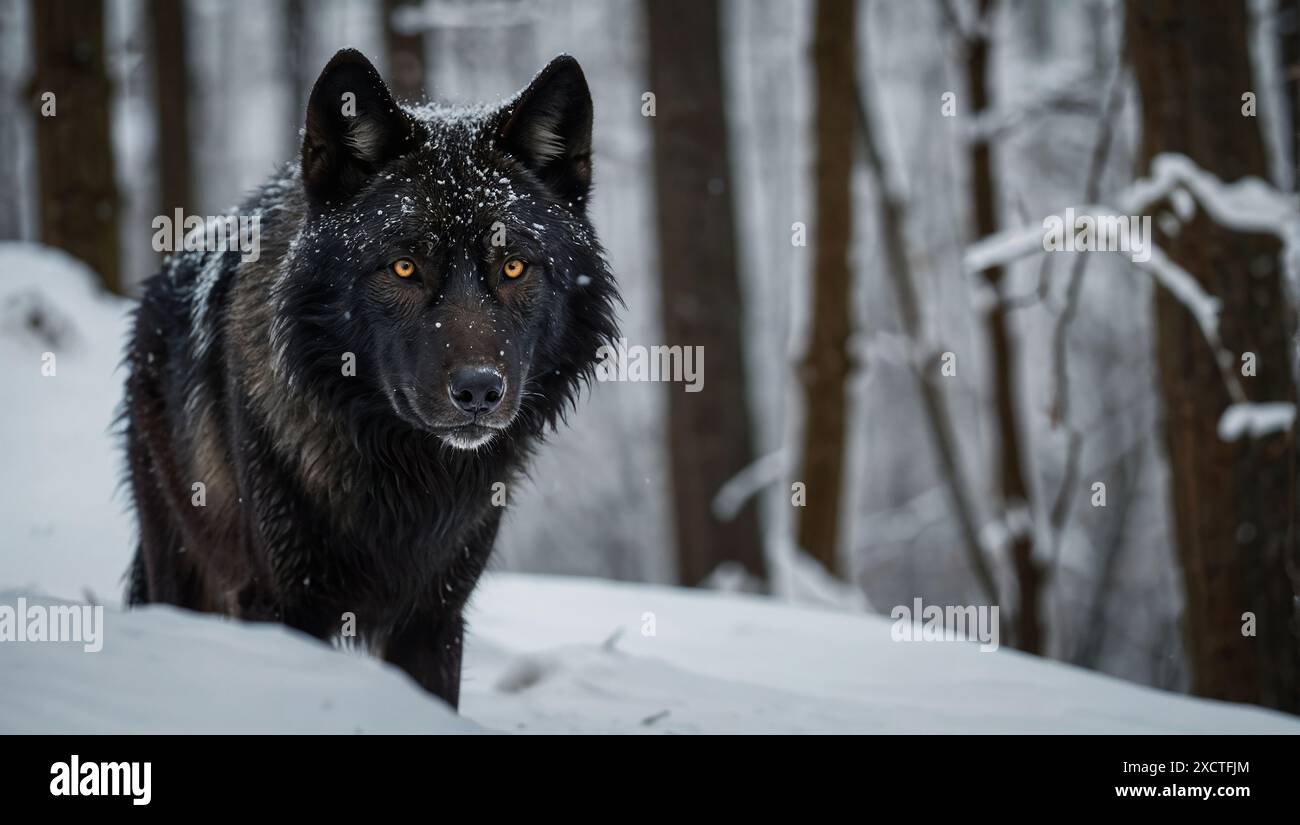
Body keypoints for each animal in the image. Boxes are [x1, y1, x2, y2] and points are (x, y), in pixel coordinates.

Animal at [121, 49, 619, 708]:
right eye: (404, 267)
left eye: (513, 267)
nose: (479, 391)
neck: (402, 468)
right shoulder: (280, 606)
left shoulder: (435, 621)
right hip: (179, 568)